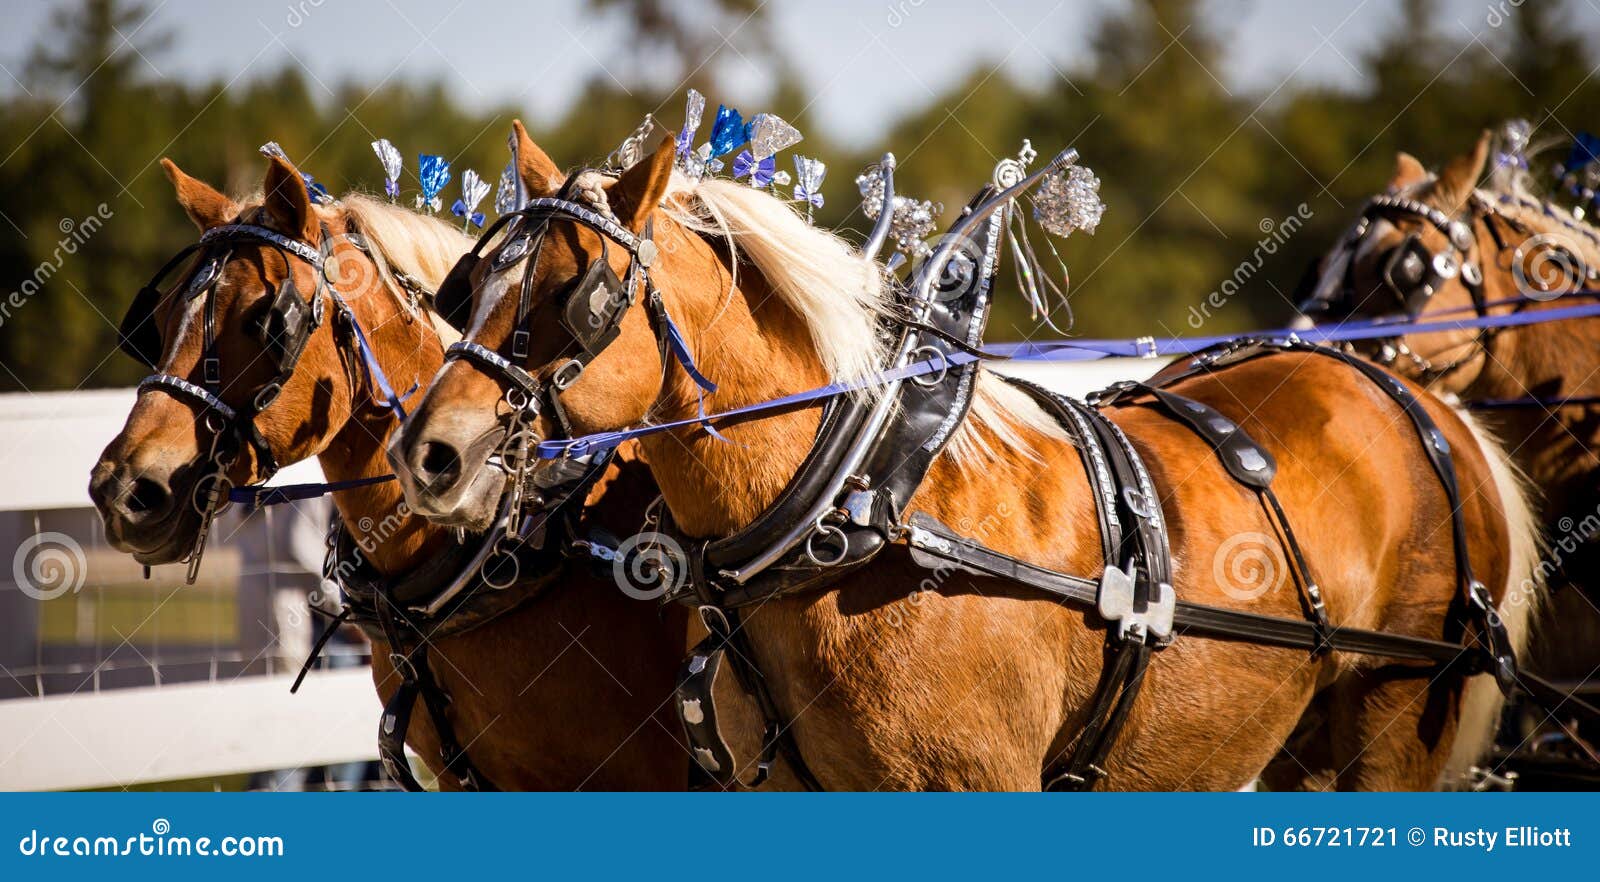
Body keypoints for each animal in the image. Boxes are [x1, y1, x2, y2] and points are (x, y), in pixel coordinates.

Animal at [391, 126, 1540, 790]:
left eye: (573, 293)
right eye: (467, 288)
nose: (431, 454)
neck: (860, 502)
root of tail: (1415, 401)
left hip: (1394, 721)